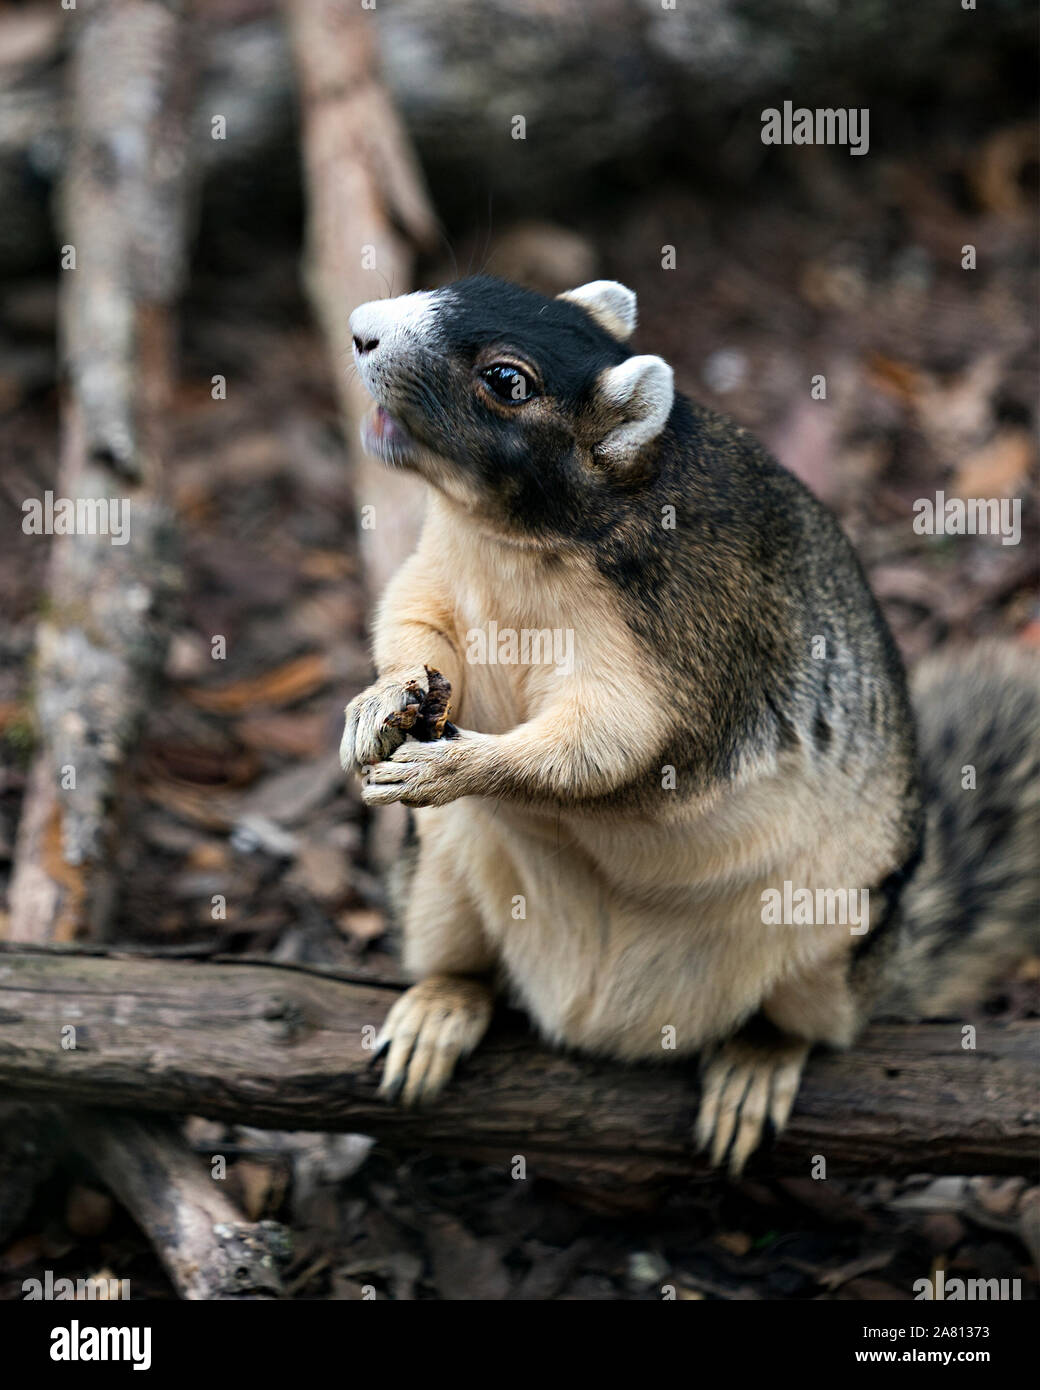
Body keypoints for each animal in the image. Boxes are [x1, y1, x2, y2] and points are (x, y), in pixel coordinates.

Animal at [341, 275, 1039, 1174]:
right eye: (463, 284)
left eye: (506, 381)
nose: (359, 330)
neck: (509, 540)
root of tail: (593, 1019)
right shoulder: (434, 577)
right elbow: (410, 628)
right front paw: (377, 704)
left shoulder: (680, 644)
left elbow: (606, 746)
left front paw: (455, 768)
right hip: (438, 886)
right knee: (465, 969)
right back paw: (438, 1008)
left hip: (830, 945)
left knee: (809, 1028)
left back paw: (757, 1064)